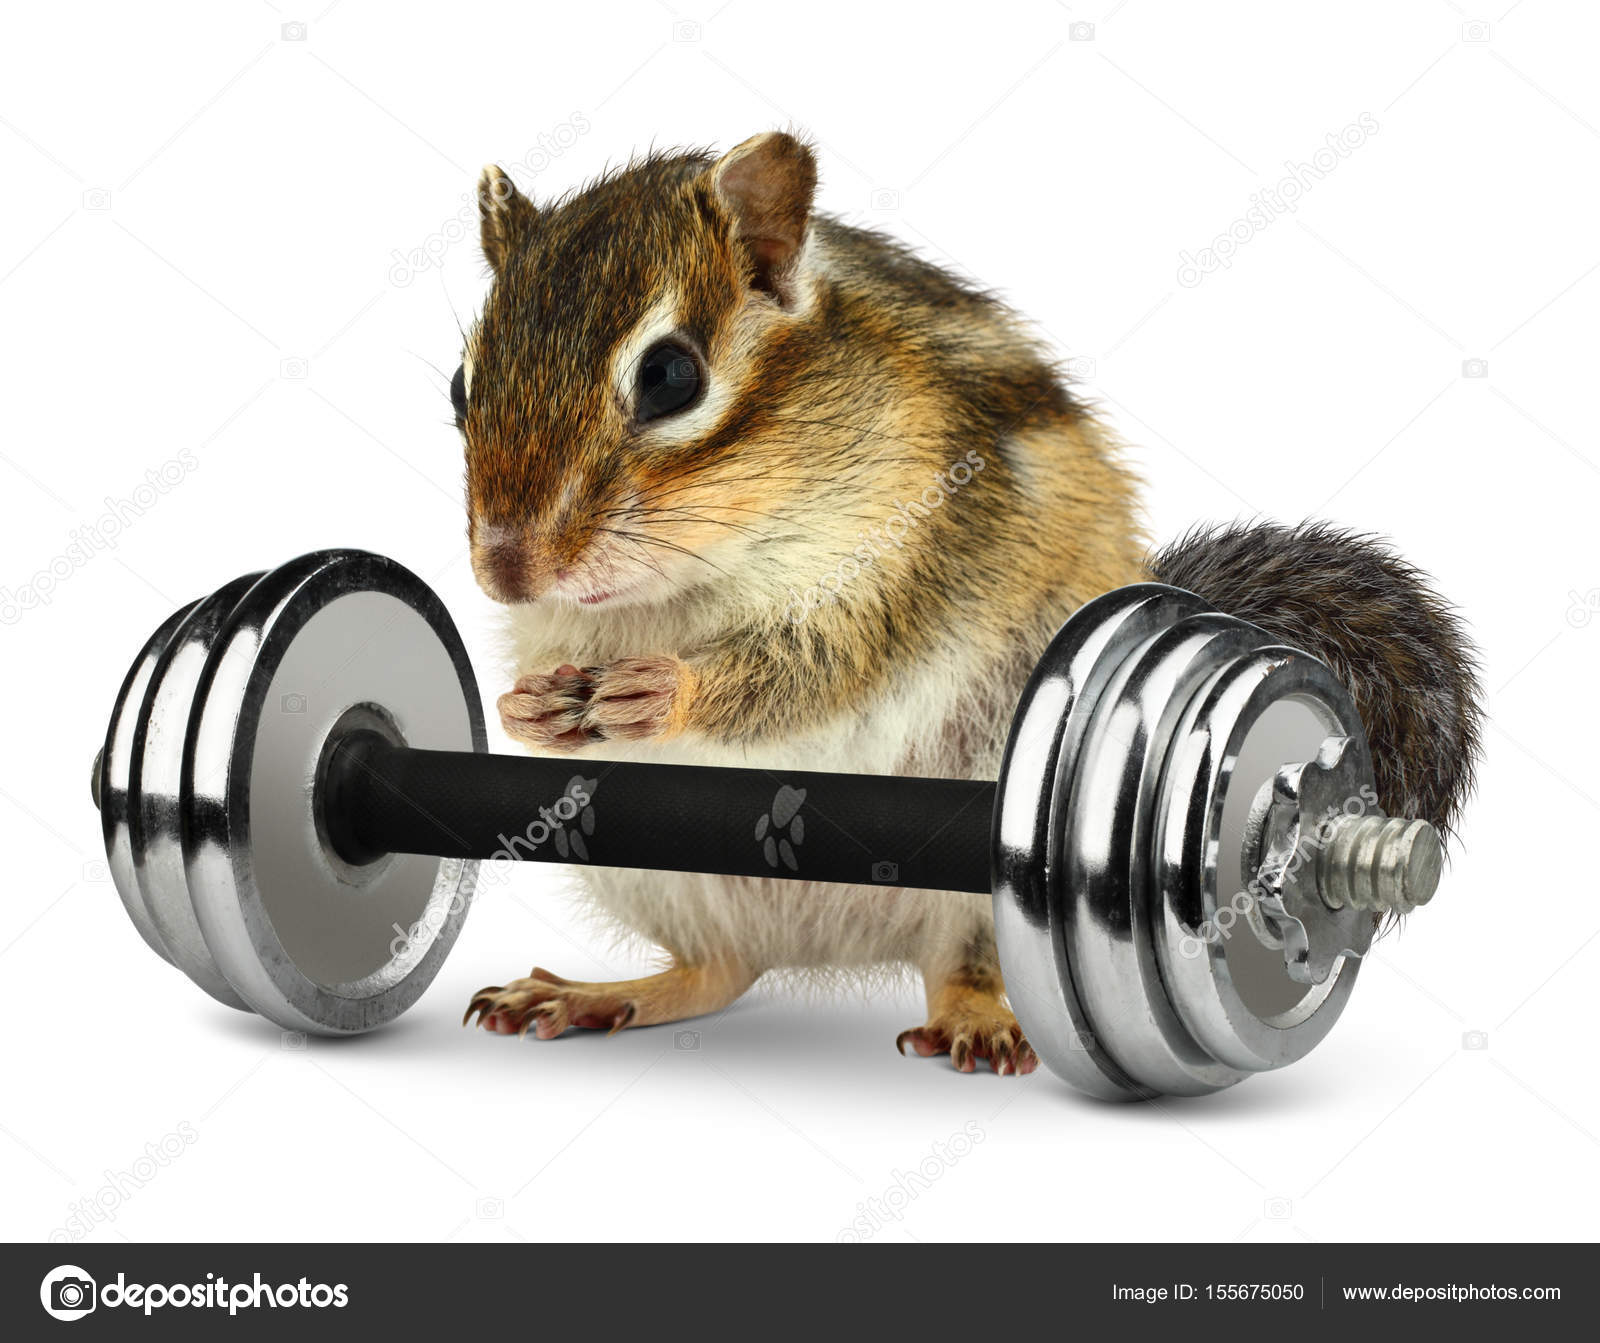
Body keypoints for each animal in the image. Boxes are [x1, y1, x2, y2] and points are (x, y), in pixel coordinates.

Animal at [453, 132, 1482, 1074]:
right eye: (463, 384)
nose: (506, 570)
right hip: (658, 878)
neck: (683, 585)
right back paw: (594, 995)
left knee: (959, 964)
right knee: (717, 970)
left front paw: (664, 689)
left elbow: (813, 667)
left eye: (670, 376)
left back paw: (977, 1019)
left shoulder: (911, 554)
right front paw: (529, 706)